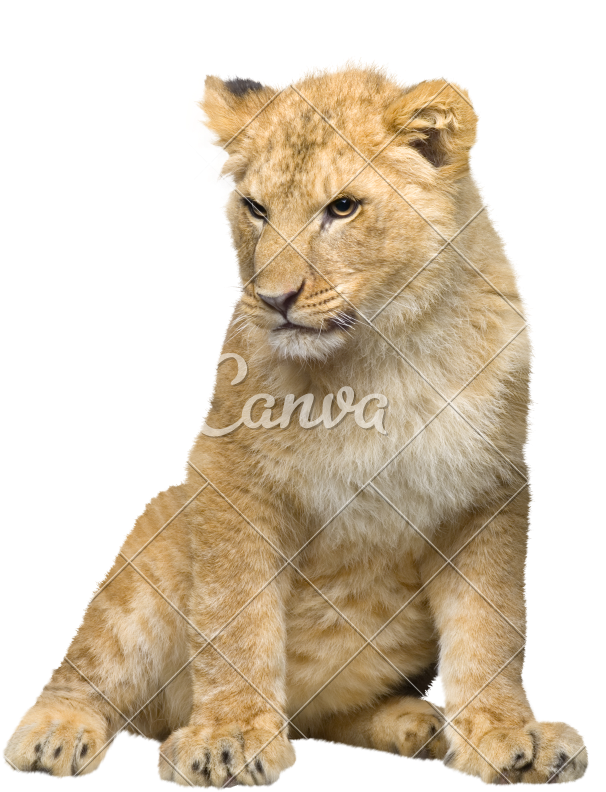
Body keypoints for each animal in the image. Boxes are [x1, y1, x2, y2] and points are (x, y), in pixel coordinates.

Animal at [3, 59, 588, 788]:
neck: (379, 356)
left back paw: (414, 724)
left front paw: (511, 734)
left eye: (342, 208)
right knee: (92, 671)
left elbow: (492, 622)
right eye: (256, 209)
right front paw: (228, 738)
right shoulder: (228, 474)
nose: (275, 299)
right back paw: (54, 735)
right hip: (154, 547)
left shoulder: (491, 487)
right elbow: (235, 612)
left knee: (324, 718)